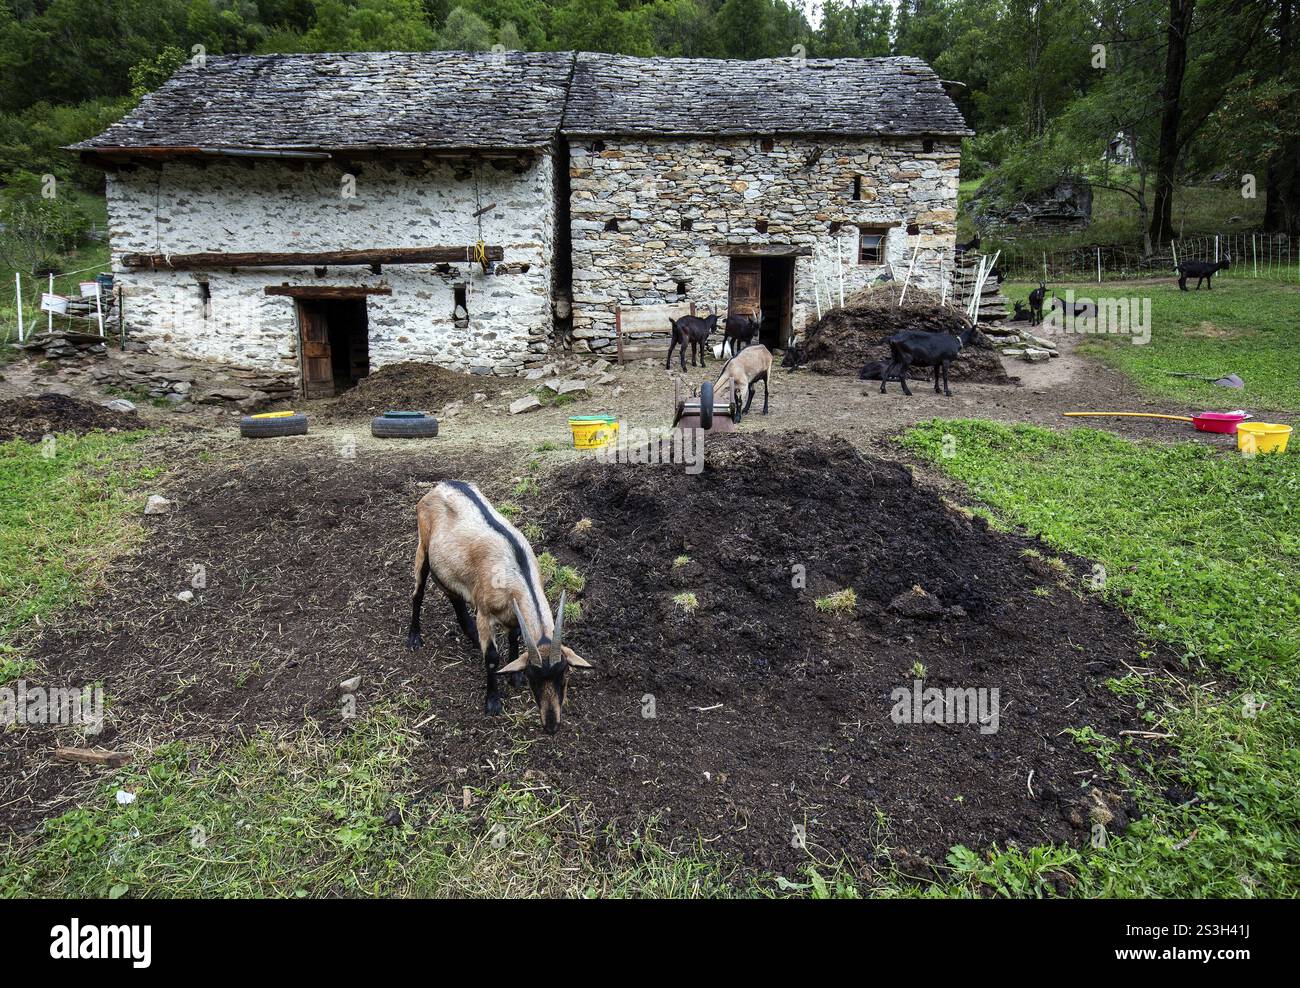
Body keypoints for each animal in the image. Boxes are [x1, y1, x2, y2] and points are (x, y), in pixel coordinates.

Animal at [408, 480, 591, 733]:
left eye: (564, 674)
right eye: (534, 676)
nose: (551, 726)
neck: (516, 571)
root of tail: (442, 485)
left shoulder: (513, 614)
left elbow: (514, 637)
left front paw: (514, 678)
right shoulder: (485, 614)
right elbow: (492, 657)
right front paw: (493, 702)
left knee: (455, 598)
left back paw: (472, 636)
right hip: (422, 547)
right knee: (417, 593)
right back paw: (414, 637)